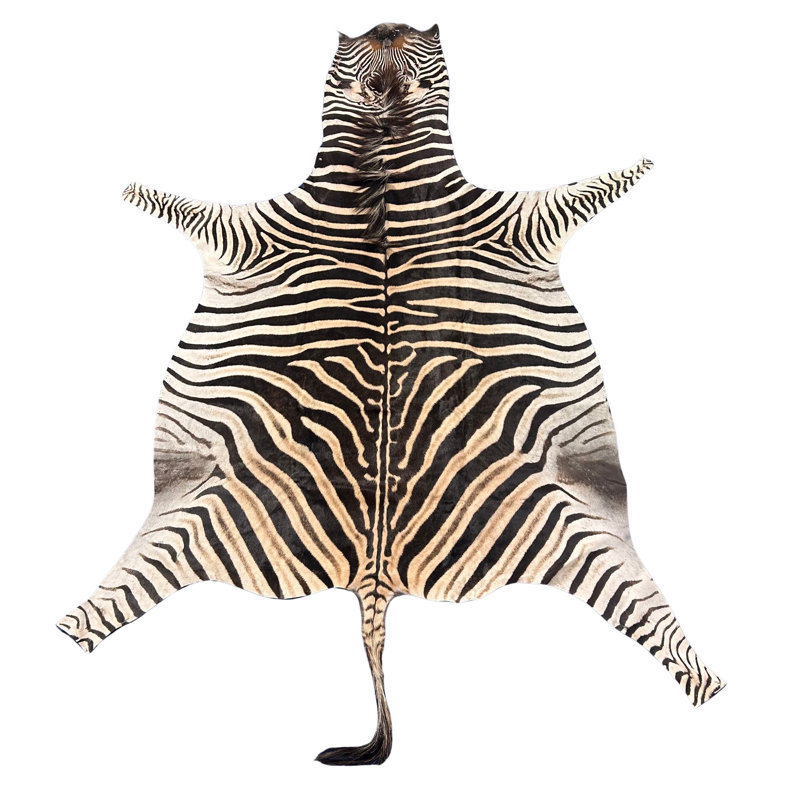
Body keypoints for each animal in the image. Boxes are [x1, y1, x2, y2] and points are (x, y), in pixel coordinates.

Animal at [58, 22, 724, 765]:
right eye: (355, 43)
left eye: (417, 43)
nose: (386, 25)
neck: (386, 146)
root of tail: (374, 582)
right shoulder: (253, 229)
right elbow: (173, 202)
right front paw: (129, 185)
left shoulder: (514, 221)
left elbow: (595, 185)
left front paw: (643, 163)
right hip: (195, 510)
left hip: (572, 515)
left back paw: (707, 681)